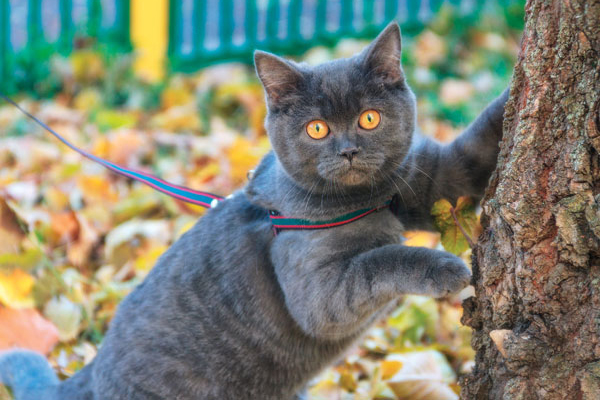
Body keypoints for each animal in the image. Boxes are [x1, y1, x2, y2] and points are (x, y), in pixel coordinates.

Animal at [0, 22, 506, 400]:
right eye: (317, 129)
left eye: (369, 118)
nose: (347, 150)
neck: (373, 201)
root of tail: (86, 371)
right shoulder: (316, 292)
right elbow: (377, 261)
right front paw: (444, 268)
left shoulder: (431, 179)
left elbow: (472, 154)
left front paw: (510, 100)